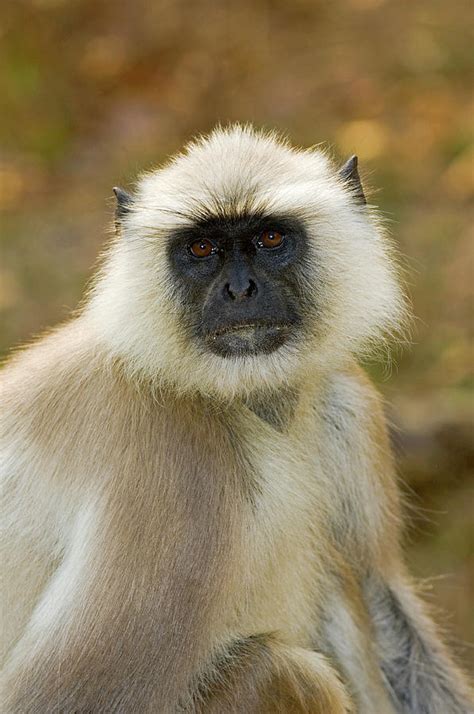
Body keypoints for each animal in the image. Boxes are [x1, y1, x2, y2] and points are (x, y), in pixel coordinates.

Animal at [1, 125, 472, 713]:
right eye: (202, 248)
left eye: (270, 239)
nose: (240, 290)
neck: (239, 397)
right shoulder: (175, 464)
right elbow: (54, 698)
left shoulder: (344, 401)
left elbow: (381, 600)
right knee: (283, 670)